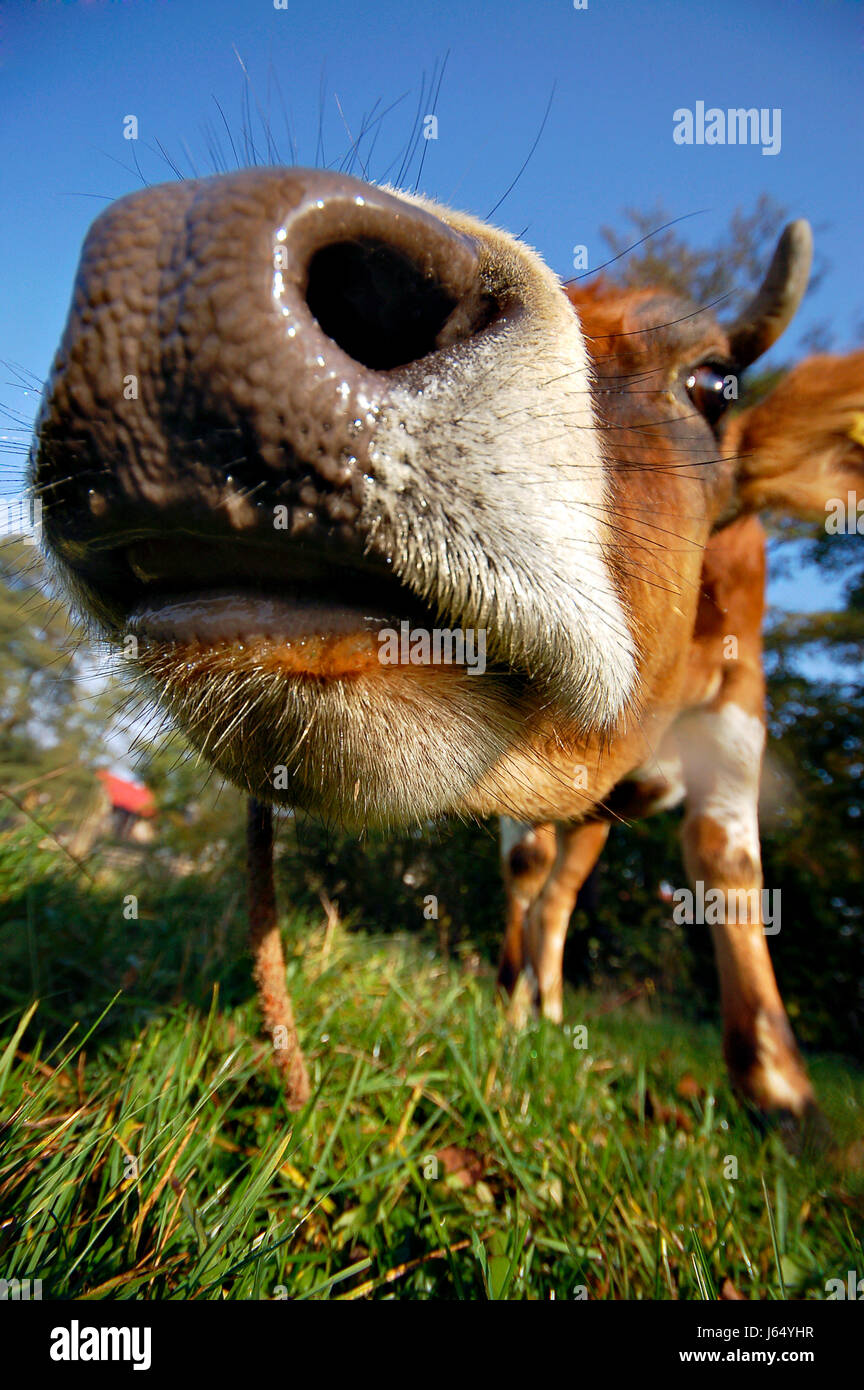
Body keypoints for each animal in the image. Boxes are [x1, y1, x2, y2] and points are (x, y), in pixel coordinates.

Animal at [28, 166, 862, 1116]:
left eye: (716, 385)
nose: (183, 264)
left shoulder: (742, 693)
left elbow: (727, 859)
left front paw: (780, 1091)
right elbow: (529, 863)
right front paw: (513, 1006)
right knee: (550, 881)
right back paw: (532, 1001)